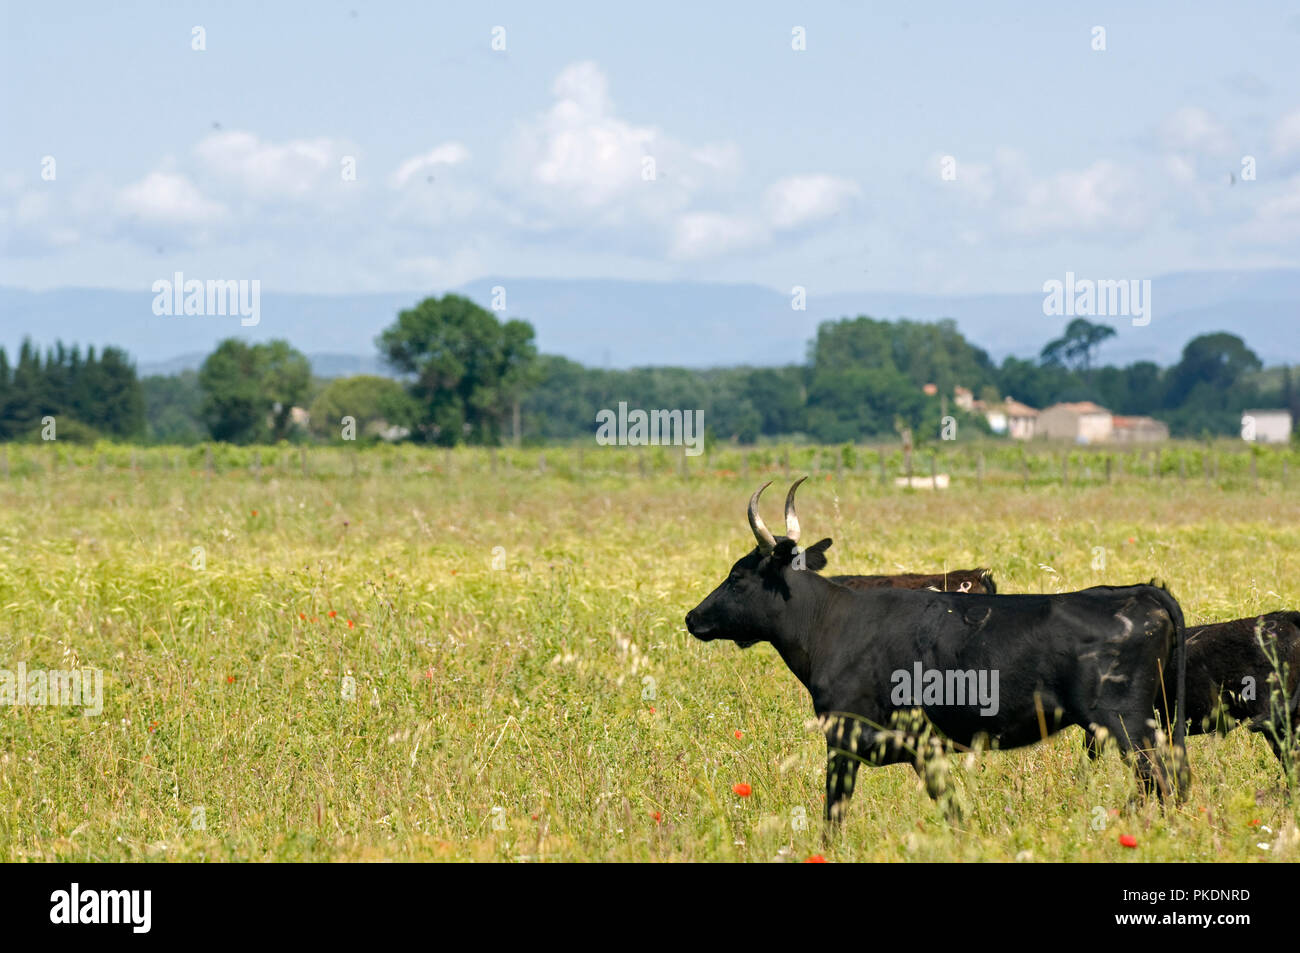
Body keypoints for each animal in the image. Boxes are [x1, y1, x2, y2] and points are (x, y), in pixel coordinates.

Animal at [684, 480, 1191, 823]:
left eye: (737, 576)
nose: (691, 617)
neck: (830, 621)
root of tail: (1139, 591)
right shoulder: (924, 749)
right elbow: (952, 810)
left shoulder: (845, 736)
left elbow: (834, 811)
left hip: (1125, 723)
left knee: (1159, 780)